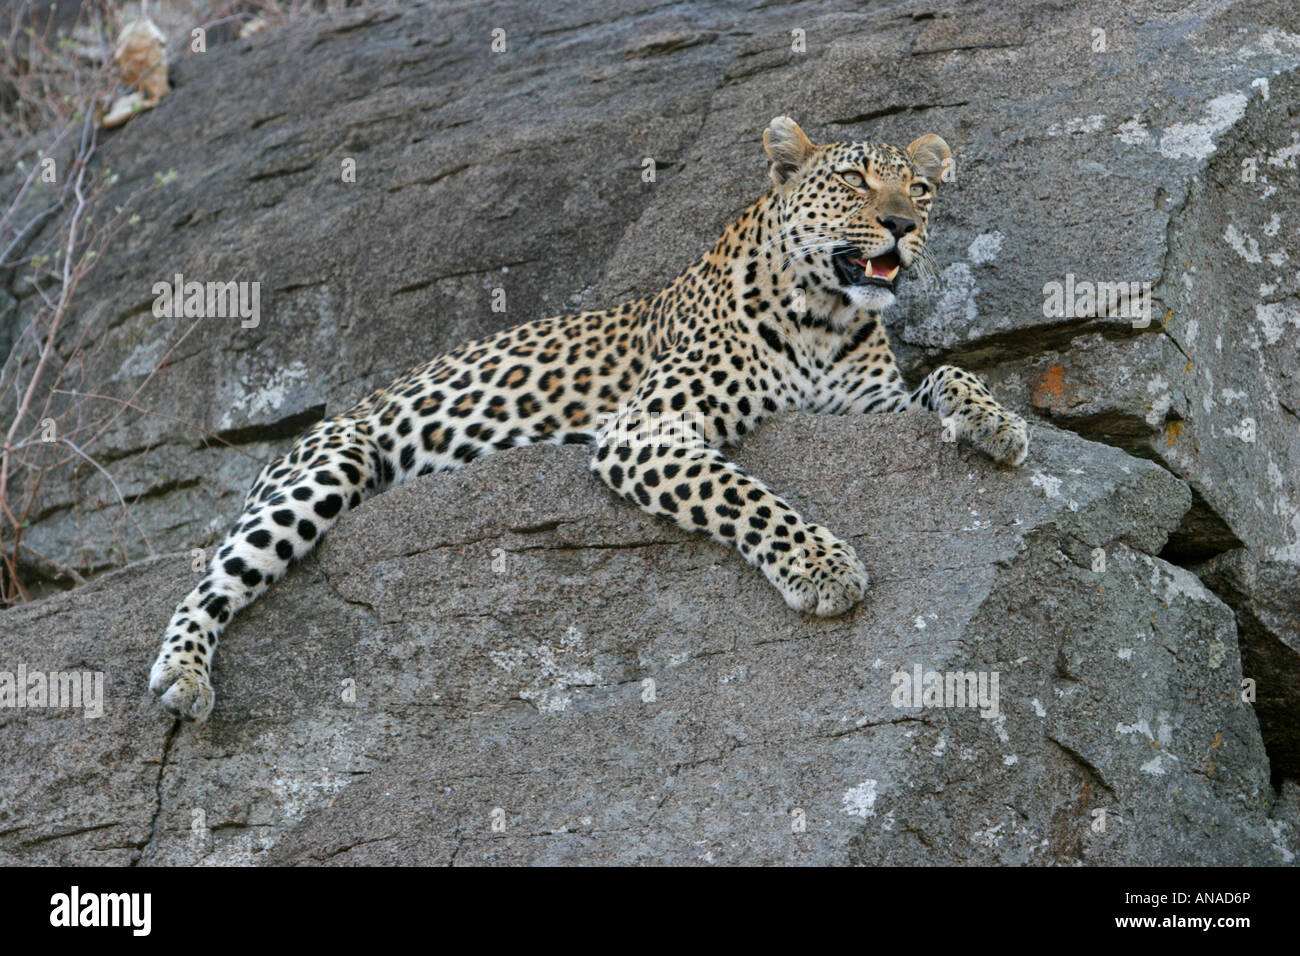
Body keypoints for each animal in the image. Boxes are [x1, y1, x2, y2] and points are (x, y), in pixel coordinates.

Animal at [150, 116, 1029, 723]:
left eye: (919, 190)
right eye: (853, 182)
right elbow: (747, 495)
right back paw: (183, 678)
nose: (904, 227)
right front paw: (822, 567)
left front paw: (998, 422)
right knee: (209, 581)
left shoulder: (868, 404)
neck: (824, 317)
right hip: (327, 469)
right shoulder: (646, 429)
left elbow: (948, 373)